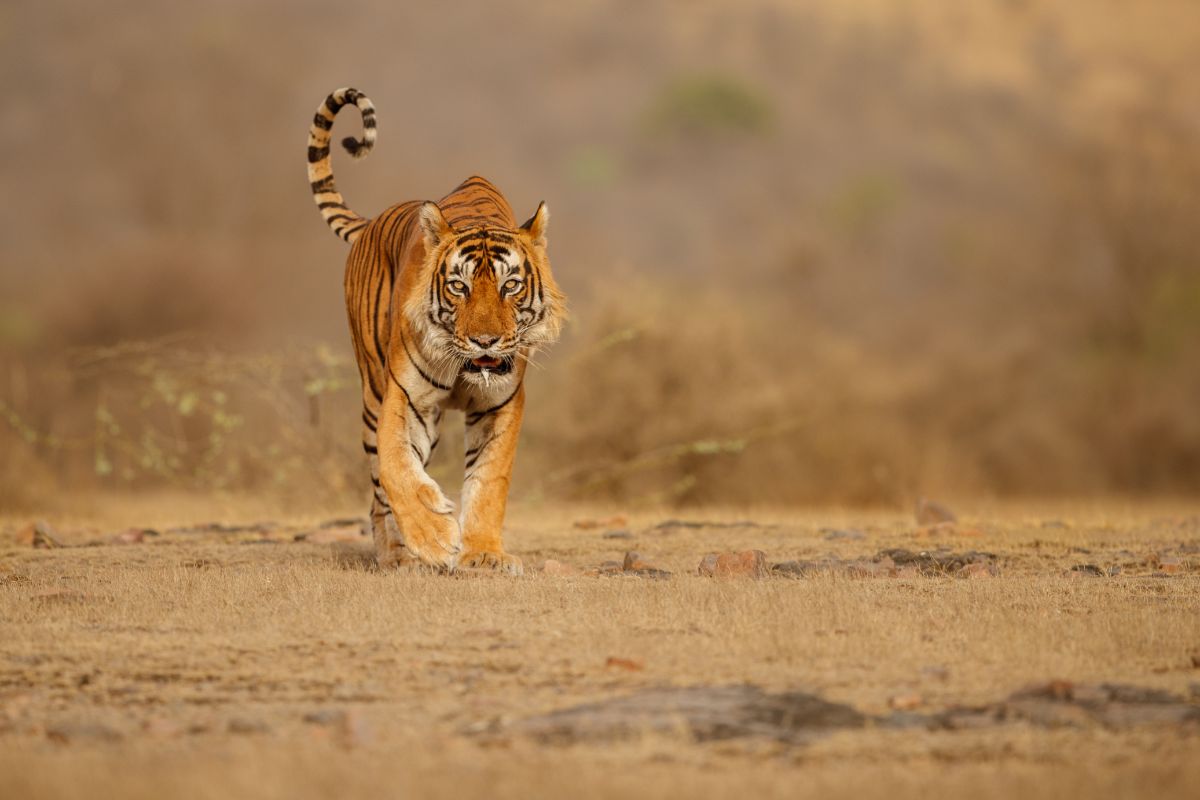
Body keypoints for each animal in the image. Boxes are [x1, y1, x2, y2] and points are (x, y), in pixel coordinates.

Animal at [306, 87, 565, 575]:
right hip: (372, 390)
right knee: (378, 486)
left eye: (511, 285)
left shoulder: (501, 404)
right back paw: (397, 555)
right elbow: (395, 466)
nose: (485, 341)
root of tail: (371, 223)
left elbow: (490, 479)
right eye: (458, 286)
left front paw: (483, 553)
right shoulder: (404, 397)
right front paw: (434, 536)